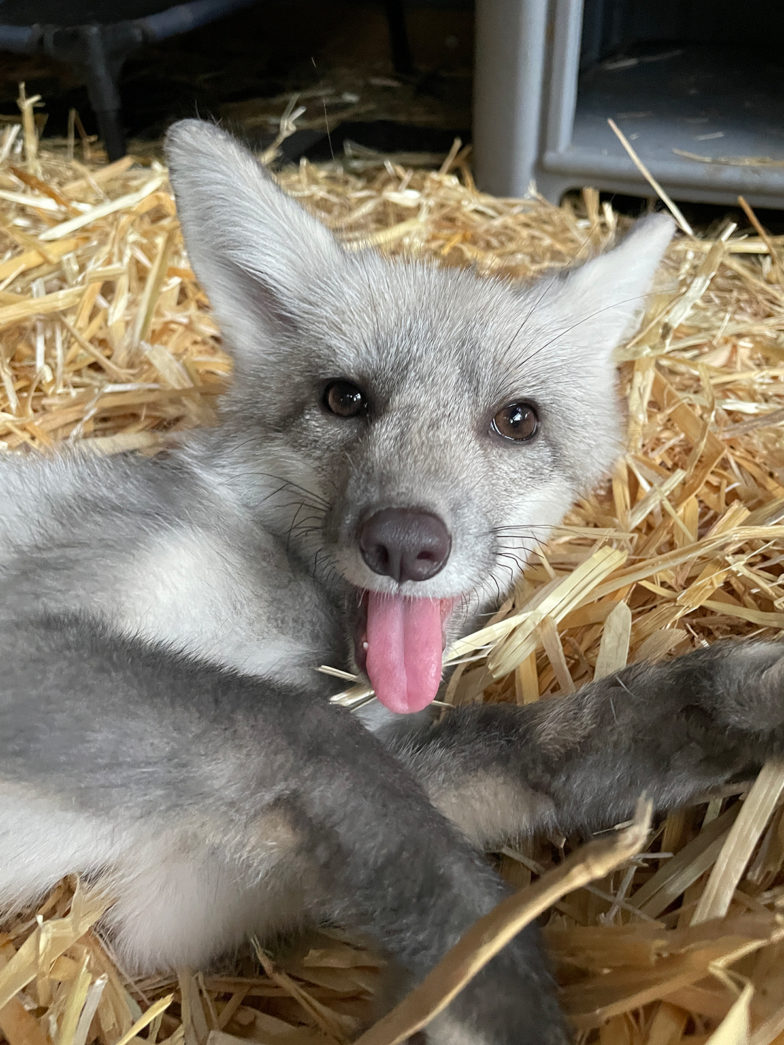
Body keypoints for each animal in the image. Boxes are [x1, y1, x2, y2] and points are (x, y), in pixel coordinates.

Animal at [1, 119, 783, 1045]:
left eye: (517, 420)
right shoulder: (30, 642)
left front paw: (720, 706)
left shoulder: (172, 892)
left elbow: (514, 753)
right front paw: (486, 975)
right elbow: (328, 747)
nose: (407, 545)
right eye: (346, 399)